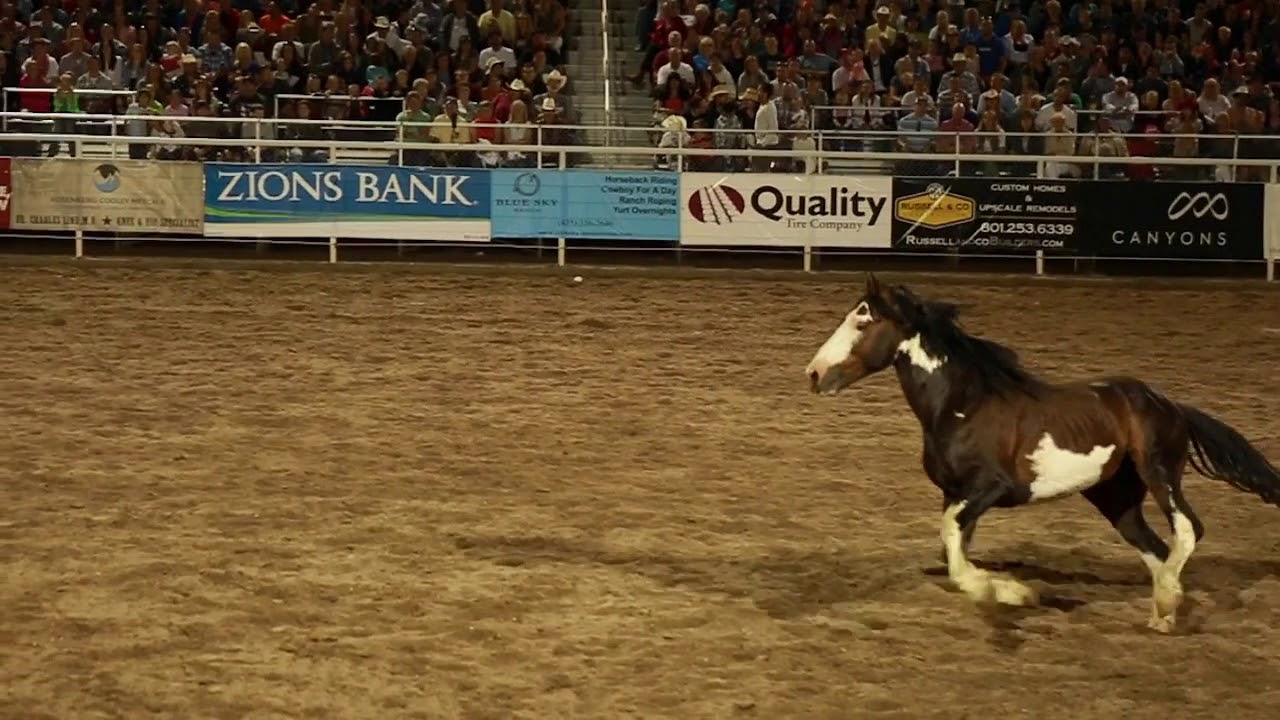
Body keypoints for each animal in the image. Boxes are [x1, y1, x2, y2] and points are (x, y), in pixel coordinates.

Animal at [804, 273, 1280, 632]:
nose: (814, 373)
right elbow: (953, 548)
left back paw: (1166, 603)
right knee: (1156, 549)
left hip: (1158, 471)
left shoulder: (989, 488)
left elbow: (955, 549)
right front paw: (998, 590)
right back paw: (1164, 613)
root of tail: (1172, 404)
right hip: (1115, 496)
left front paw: (1014, 593)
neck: (964, 404)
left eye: (862, 324)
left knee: (1188, 529)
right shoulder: (955, 494)